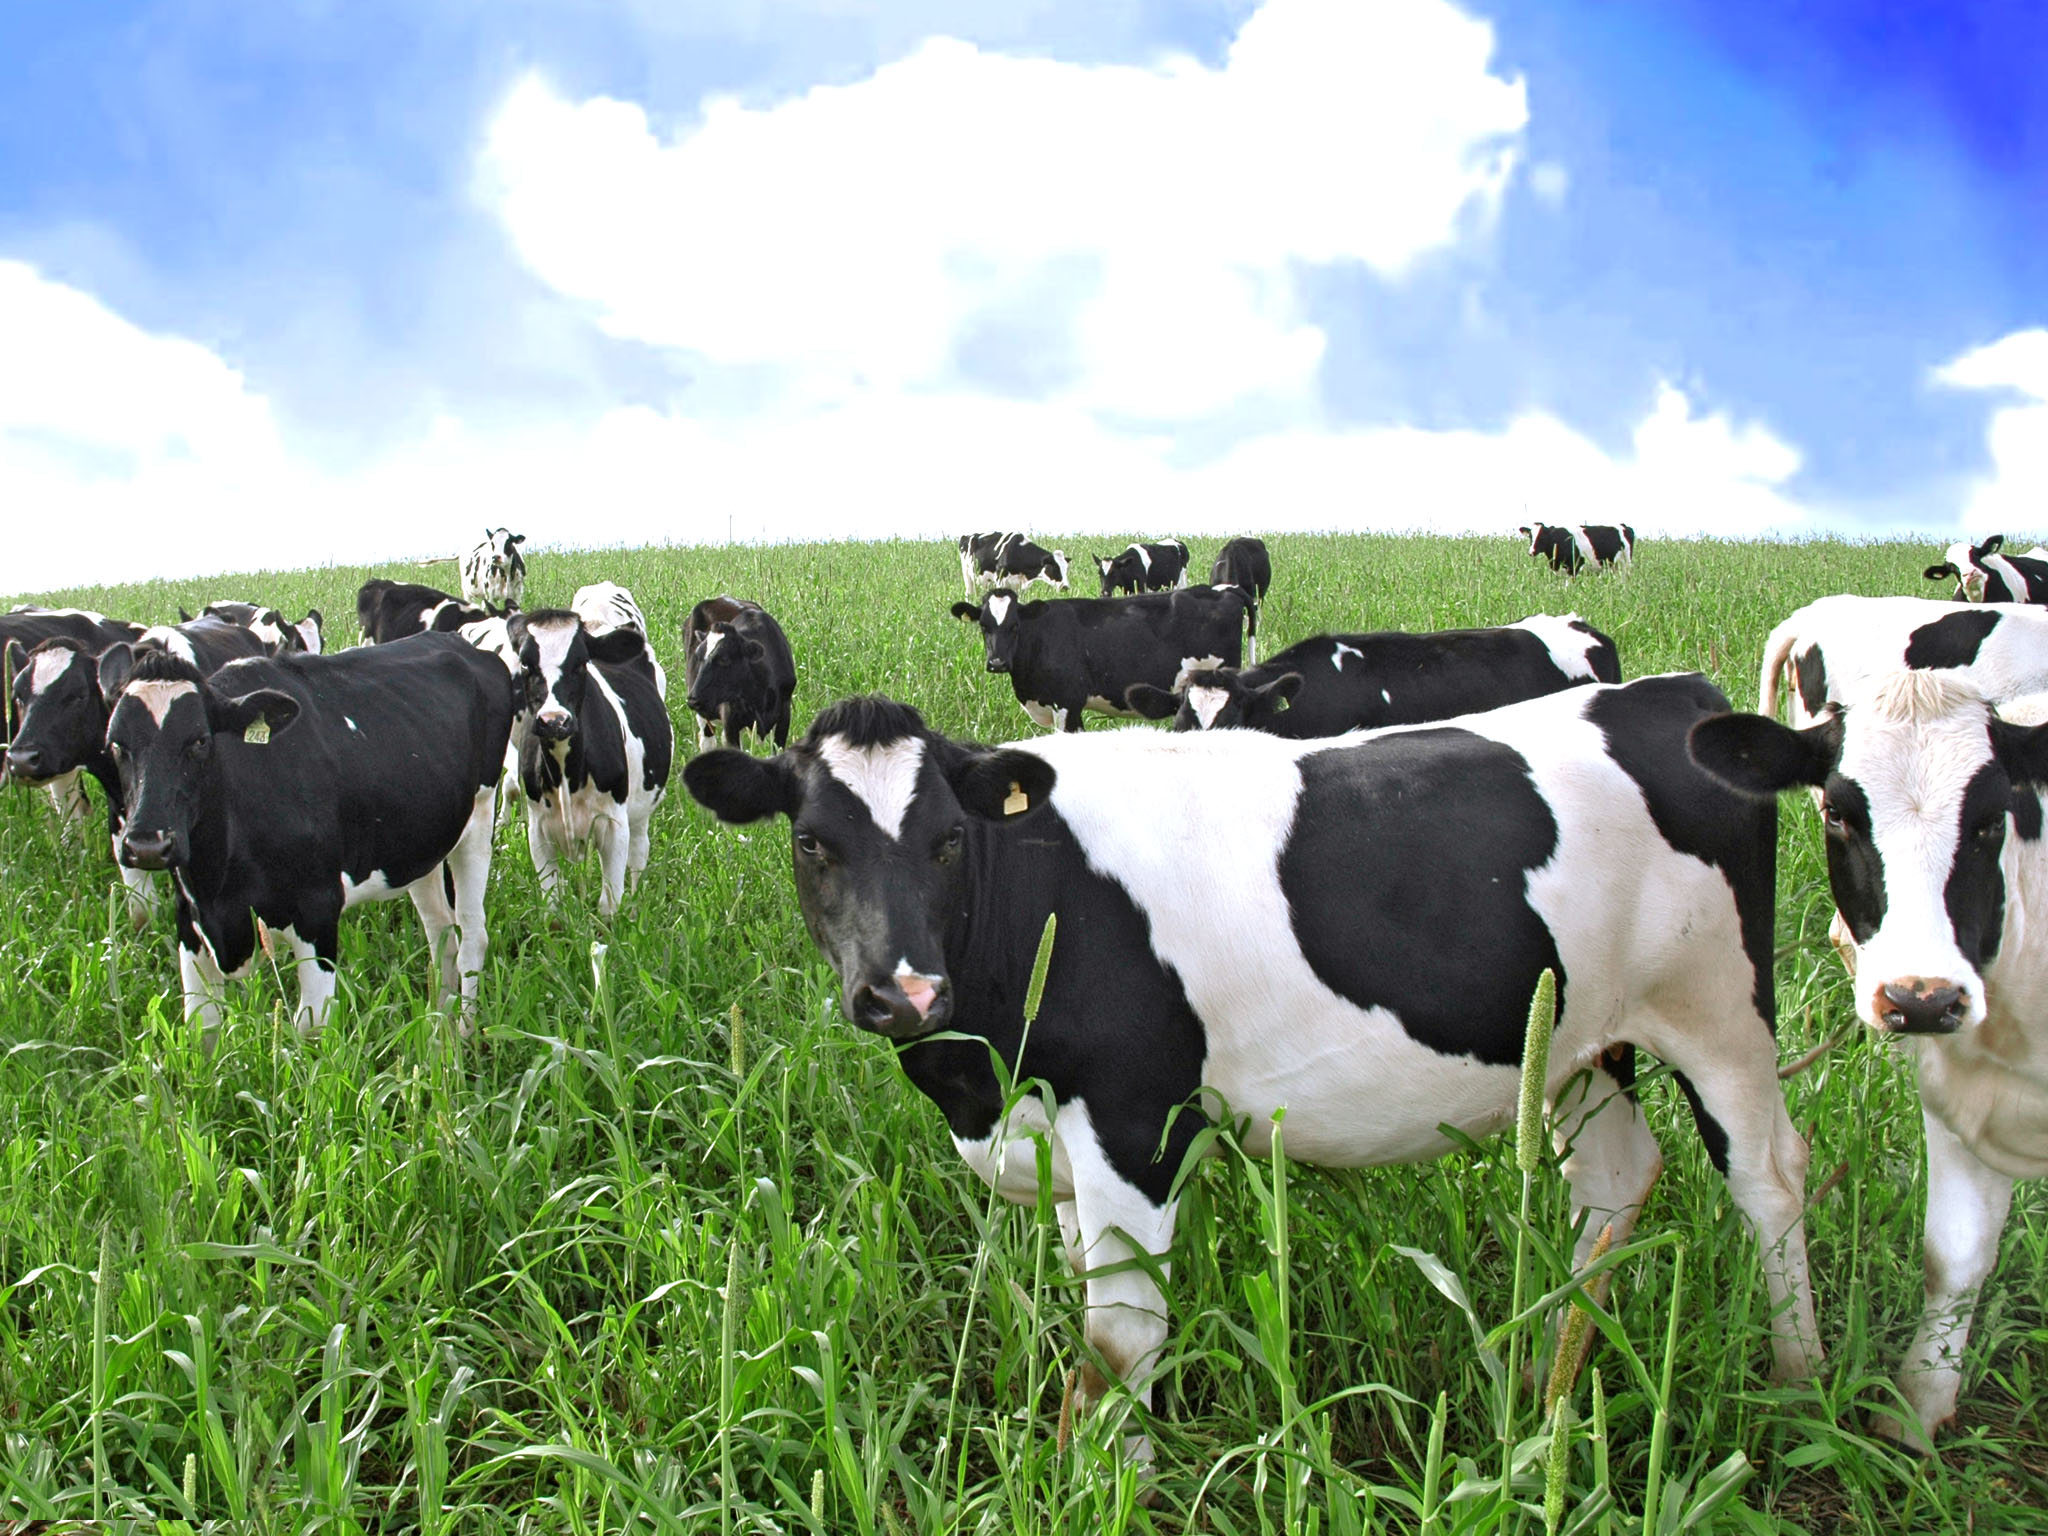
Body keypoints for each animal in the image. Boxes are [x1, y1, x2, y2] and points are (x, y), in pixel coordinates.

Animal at [105, 633, 511, 1047]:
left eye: (200, 741)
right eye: (116, 745)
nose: (147, 845)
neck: (219, 885)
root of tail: (456, 641)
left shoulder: (317, 911)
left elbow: (309, 1028)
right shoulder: (190, 919)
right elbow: (203, 1028)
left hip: (478, 819)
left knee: (471, 934)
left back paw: (464, 1030)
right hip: (419, 844)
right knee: (440, 930)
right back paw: (439, 1026)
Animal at [506, 609, 672, 915]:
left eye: (581, 663)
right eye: (525, 664)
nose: (554, 721)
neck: (566, 772)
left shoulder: (615, 824)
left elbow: (609, 904)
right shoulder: (537, 830)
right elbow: (552, 905)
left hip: (641, 810)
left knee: (638, 856)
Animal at [682, 680, 1822, 1462]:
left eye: (949, 839)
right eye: (812, 843)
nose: (906, 994)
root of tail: (1665, 693)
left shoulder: (1134, 1118)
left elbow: (1118, 1341)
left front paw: (1107, 1484)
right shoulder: (1059, 1143)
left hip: (1719, 1013)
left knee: (1768, 1177)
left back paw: (1800, 1382)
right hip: (1578, 1038)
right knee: (1615, 1176)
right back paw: (1548, 1376)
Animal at [683, 597, 796, 754]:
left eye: (724, 659)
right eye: (698, 657)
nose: (693, 699)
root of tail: (717, 599)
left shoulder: (784, 713)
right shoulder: (730, 718)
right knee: (707, 741)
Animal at [1692, 670, 2048, 1448]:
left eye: (1991, 822)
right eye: (1838, 816)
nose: (1922, 1000)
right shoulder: (1962, 1102)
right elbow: (1953, 1257)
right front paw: (1917, 1408)